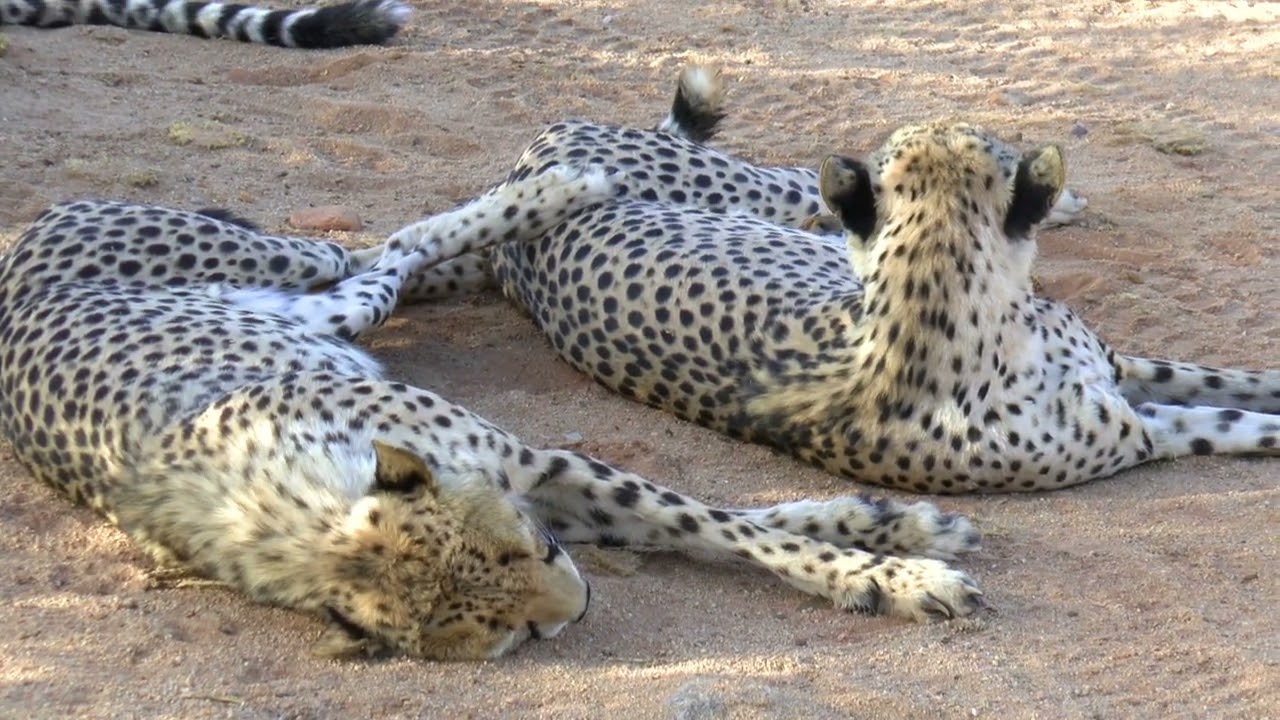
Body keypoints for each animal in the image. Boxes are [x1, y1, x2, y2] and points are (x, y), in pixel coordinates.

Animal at [0, 168, 984, 662]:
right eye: (505, 631)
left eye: (522, 554)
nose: (576, 609)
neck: (307, 506)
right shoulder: (547, 489)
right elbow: (727, 527)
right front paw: (880, 549)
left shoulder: (537, 466)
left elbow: (730, 527)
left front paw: (894, 565)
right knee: (387, 257)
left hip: (313, 291)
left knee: (387, 248)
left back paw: (553, 192)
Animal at [463, 77, 1280, 494]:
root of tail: (533, 154)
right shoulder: (1149, 424)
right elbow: (1244, 412)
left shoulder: (1122, 382)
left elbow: (1238, 384)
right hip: (757, 188)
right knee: (796, 177)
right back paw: (1072, 199)